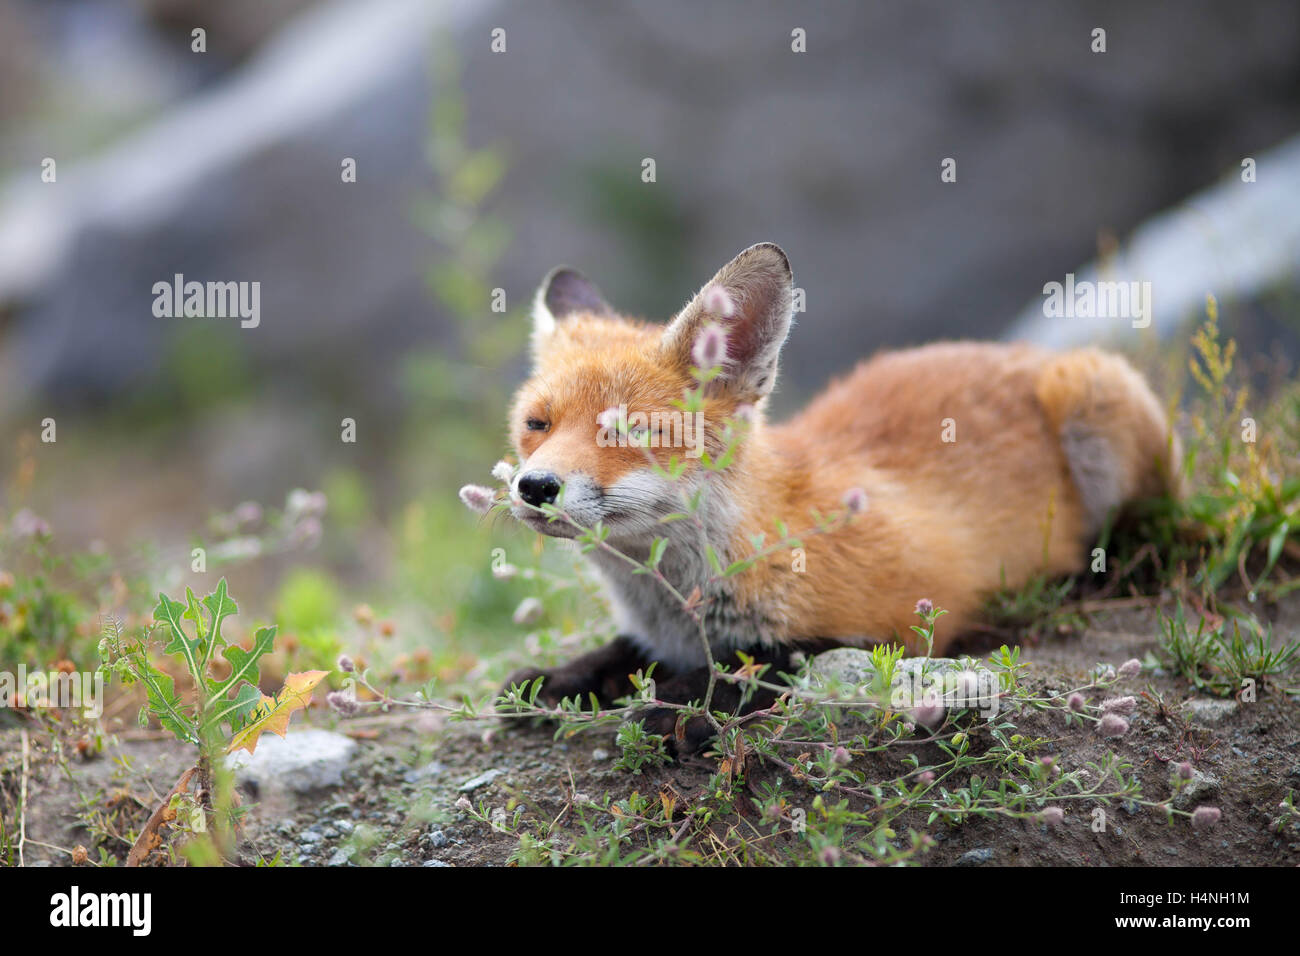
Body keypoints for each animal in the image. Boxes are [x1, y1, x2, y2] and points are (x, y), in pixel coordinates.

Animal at [486, 242, 1181, 752]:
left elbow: (770, 661)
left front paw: (687, 704)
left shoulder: (908, 611)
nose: (535, 487)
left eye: (630, 430)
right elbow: (617, 655)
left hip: (1097, 404)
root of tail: (1019, 348)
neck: (681, 603)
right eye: (537, 424)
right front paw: (558, 679)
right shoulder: (654, 635)